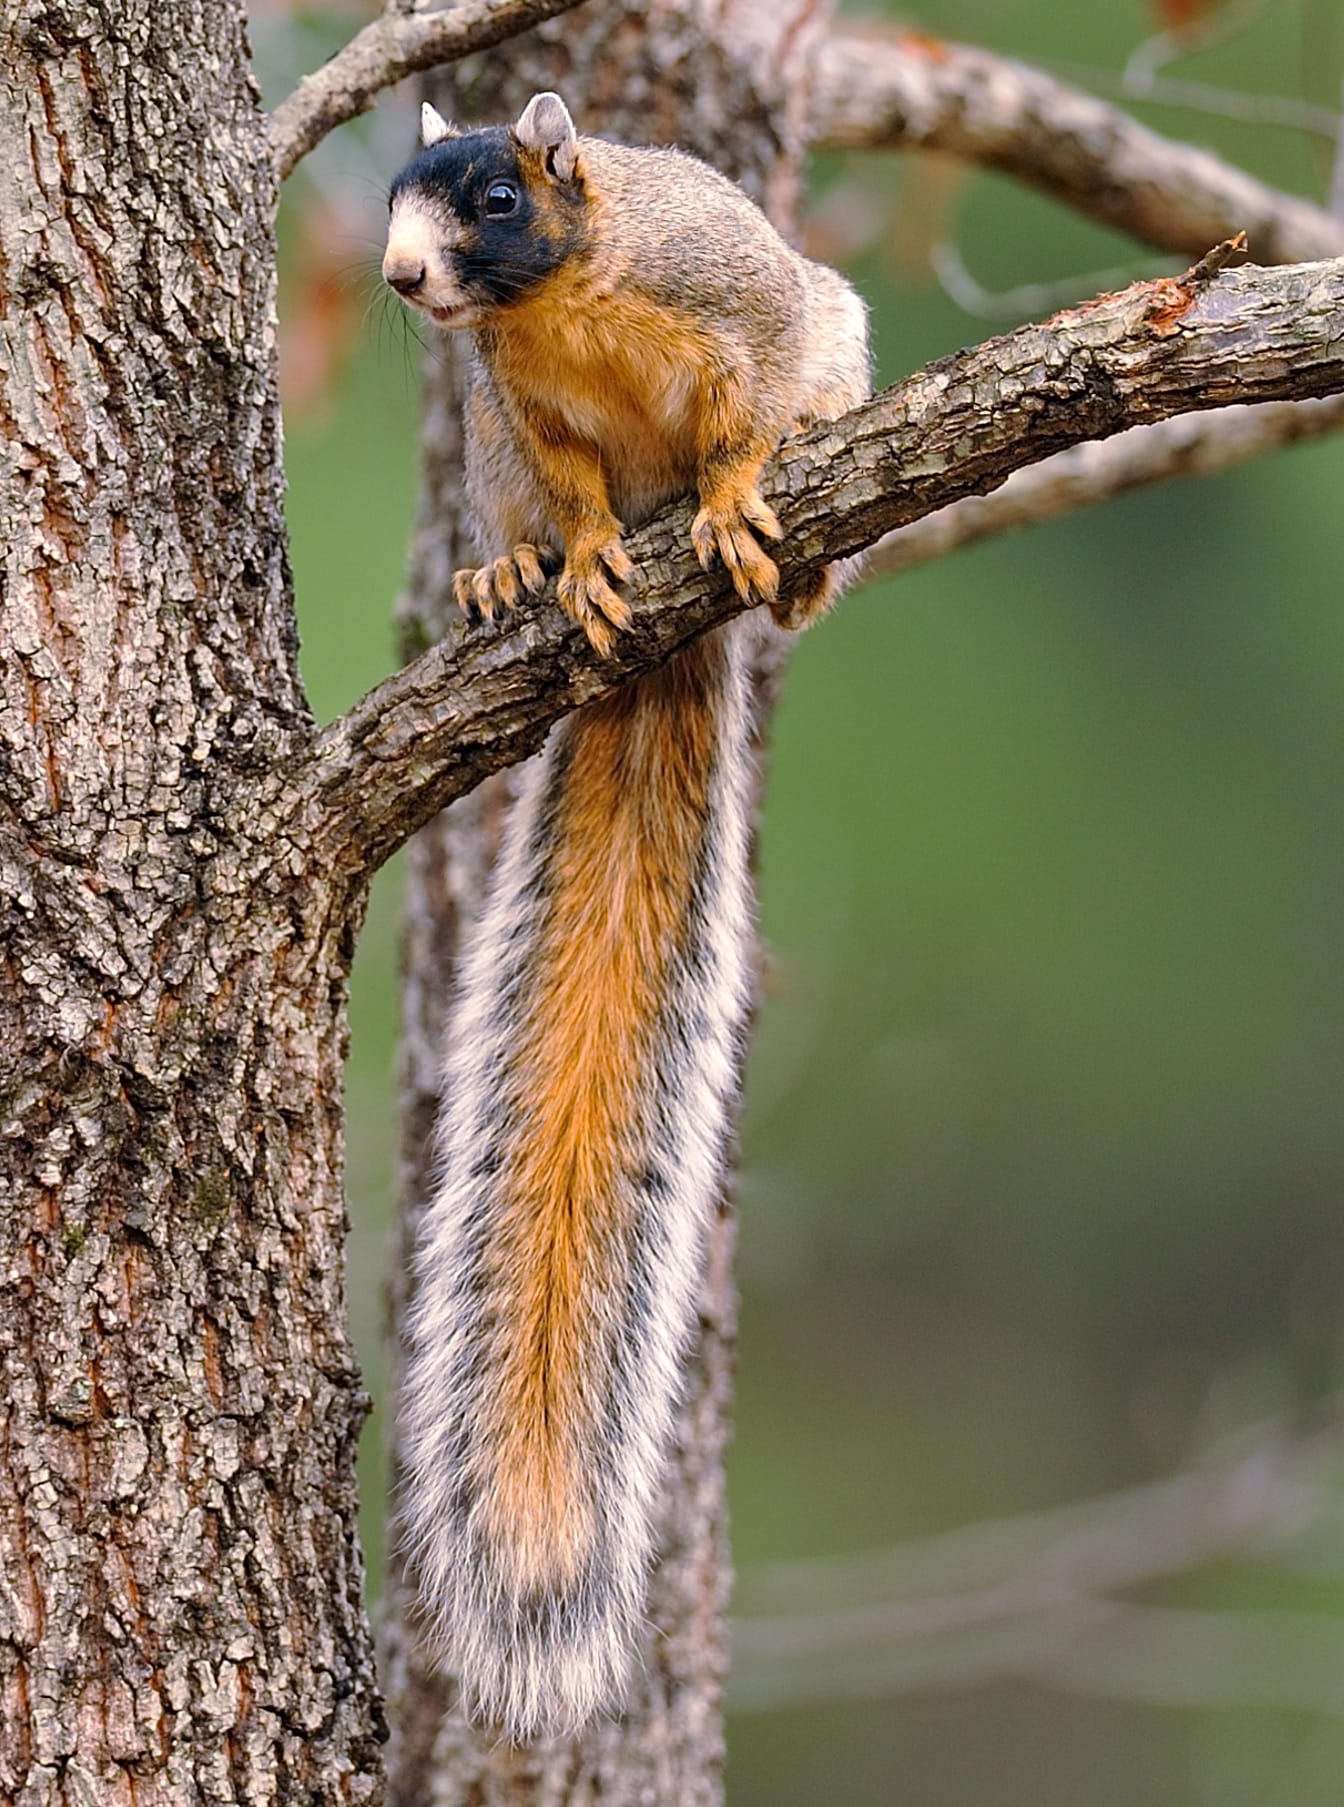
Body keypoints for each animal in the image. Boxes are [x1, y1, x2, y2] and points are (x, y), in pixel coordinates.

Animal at [383, 91, 870, 1742]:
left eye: (493, 196)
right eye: (395, 194)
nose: (404, 278)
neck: (565, 300)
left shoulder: (744, 305)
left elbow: (744, 419)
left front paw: (730, 498)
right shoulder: (523, 417)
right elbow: (583, 487)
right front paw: (589, 553)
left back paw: (776, 570)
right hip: (484, 460)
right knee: (527, 516)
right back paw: (514, 570)